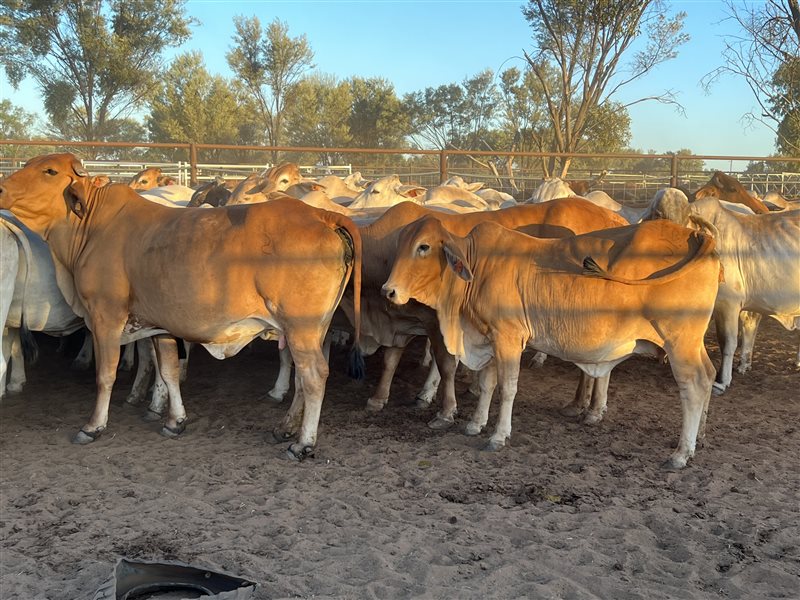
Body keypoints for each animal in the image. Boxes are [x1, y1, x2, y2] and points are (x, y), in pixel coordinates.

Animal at [0, 153, 362, 460]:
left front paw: (93, 426)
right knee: (302, 377)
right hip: (311, 328)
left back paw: (303, 443)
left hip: (300, 325)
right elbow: (170, 372)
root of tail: (322, 215)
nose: (1, 188)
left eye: (49, 171)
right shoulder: (159, 324)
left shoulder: (105, 318)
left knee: (314, 375)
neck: (92, 224)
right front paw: (175, 421)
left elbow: (106, 374)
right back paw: (285, 427)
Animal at [381, 216, 721, 468]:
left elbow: (507, 388)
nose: (388, 290)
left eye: (424, 247)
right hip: (692, 343)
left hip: (679, 342)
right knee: (709, 375)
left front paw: (498, 436)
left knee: (695, 385)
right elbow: (487, 384)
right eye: (400, 244)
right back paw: (700, 438)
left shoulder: (509, 337)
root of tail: (698, 236)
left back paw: (681, 453)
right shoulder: (490, 338)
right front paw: (475, 424)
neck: (479, 266)